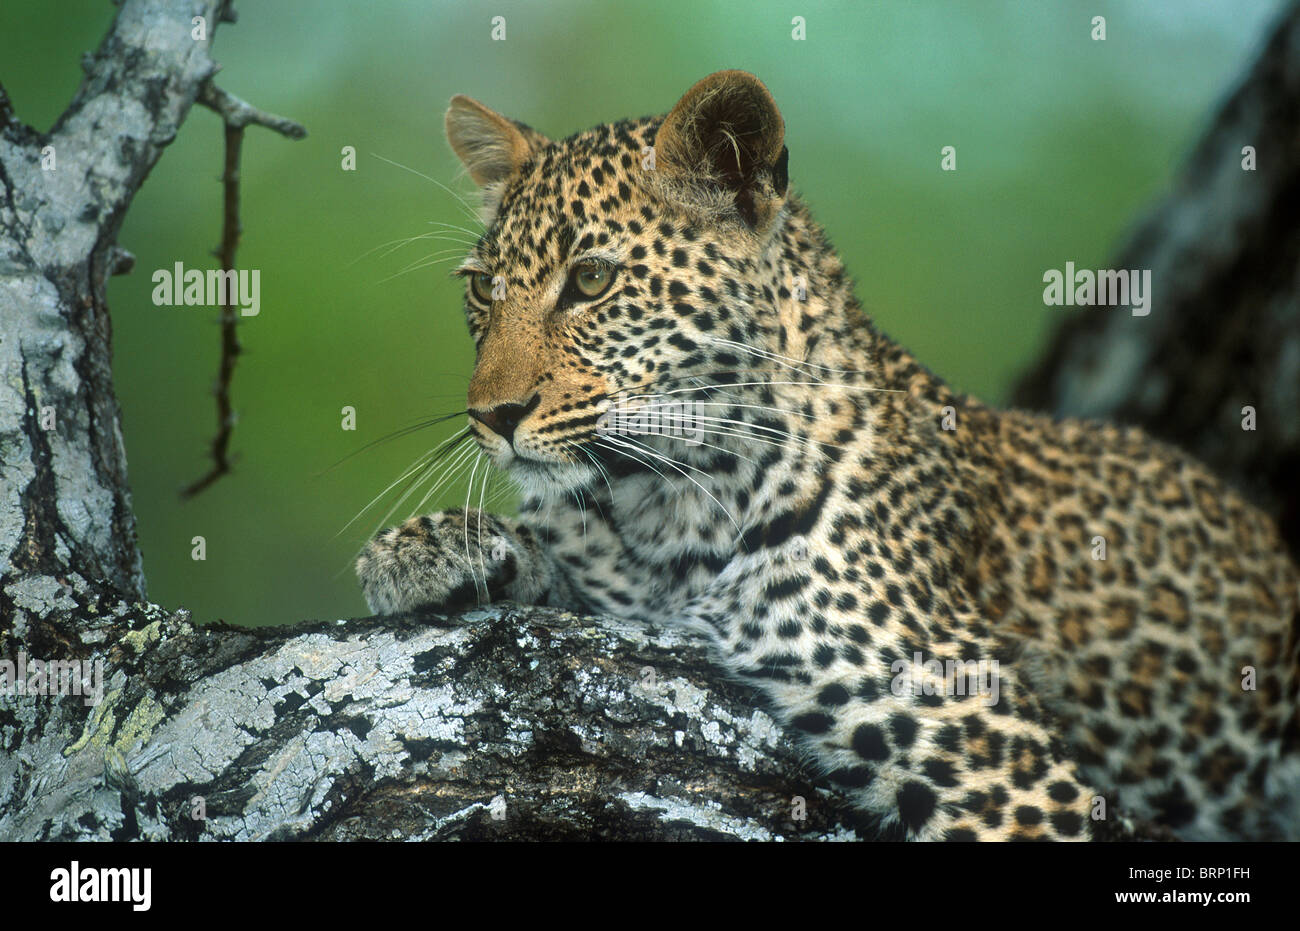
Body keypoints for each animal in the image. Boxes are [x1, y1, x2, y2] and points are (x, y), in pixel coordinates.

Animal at [356, 70, 1300, 840]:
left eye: (591, 279)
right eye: (484, 289)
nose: (491, 415)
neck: (666, 500)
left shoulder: (1002, 759)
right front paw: (423, 548)